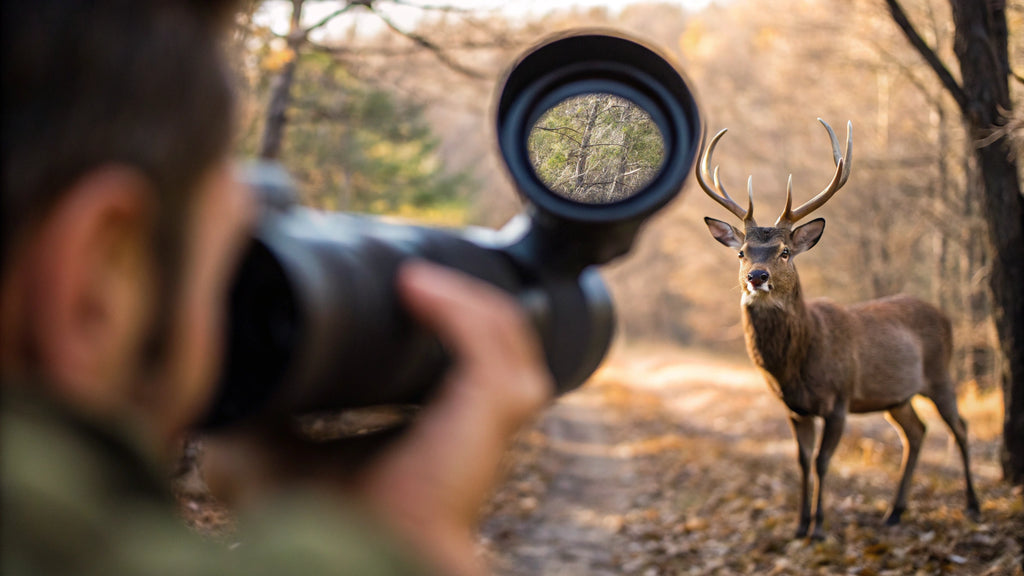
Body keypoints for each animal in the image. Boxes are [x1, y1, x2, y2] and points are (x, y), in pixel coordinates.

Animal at [697, 119, 980, 540]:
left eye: (784, 252)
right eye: (742, 252)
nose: (756, 276)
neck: (797, 362)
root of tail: (943, 314)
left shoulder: (840, 400)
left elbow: (822, 462)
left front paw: (819, 527)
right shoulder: (795, 408)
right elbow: (801, 461)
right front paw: (799, 526)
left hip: (941, 373)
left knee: (959, 427)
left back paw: (973, 505)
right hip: (896, 396)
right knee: (916, 432)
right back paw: (894, 512)